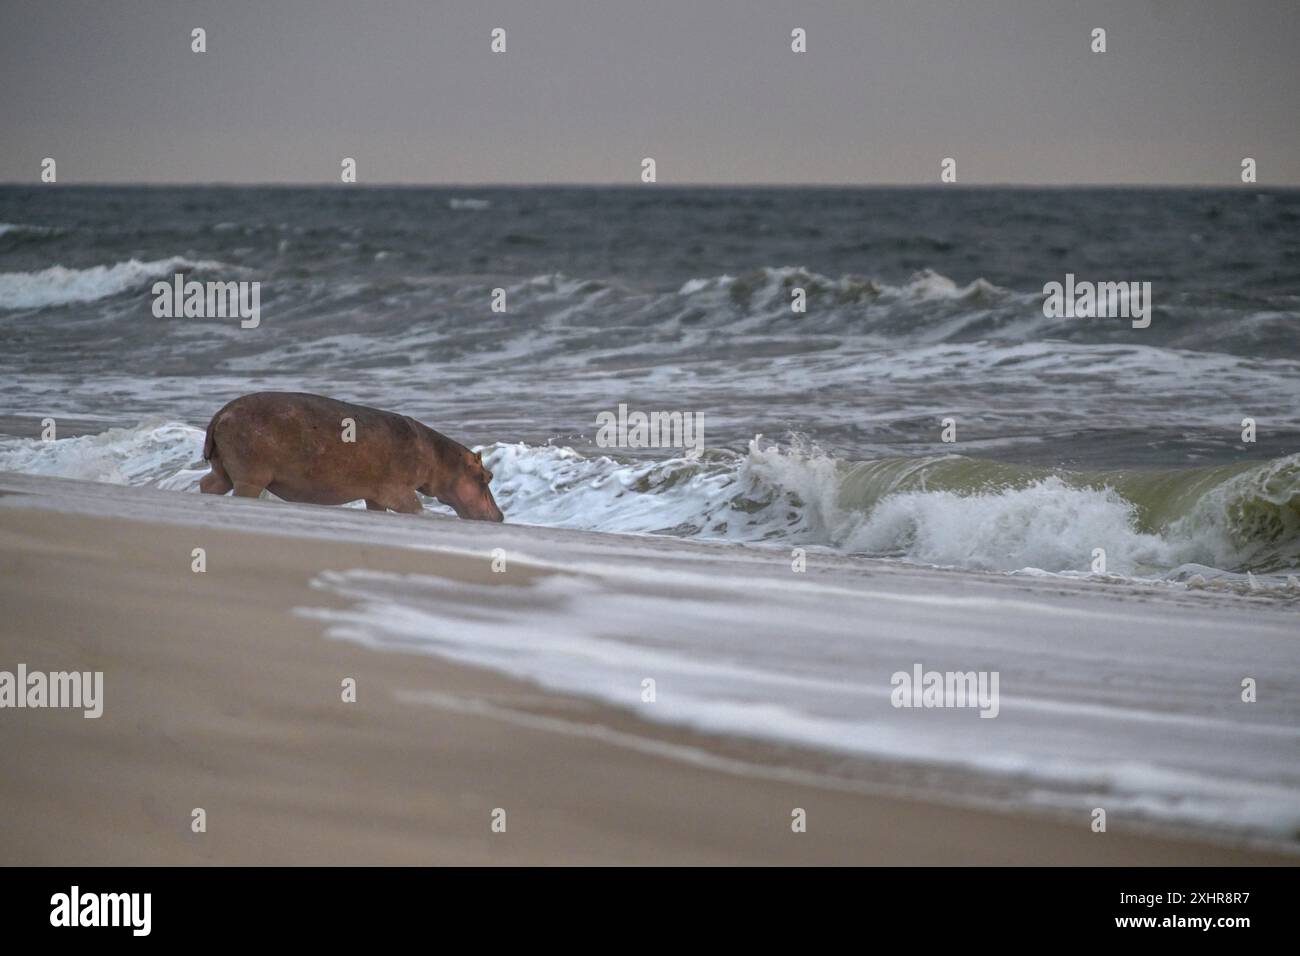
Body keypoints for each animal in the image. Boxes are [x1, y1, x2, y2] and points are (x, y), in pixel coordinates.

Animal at [198, 392, 504, 521]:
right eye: (488, 476)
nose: (501, 516)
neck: (442, 461)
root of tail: (221, 413)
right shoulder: (399, 489)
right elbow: (414, 507)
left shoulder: (377, 495)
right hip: (251, 476)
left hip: (225, 471)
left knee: (208, 483)